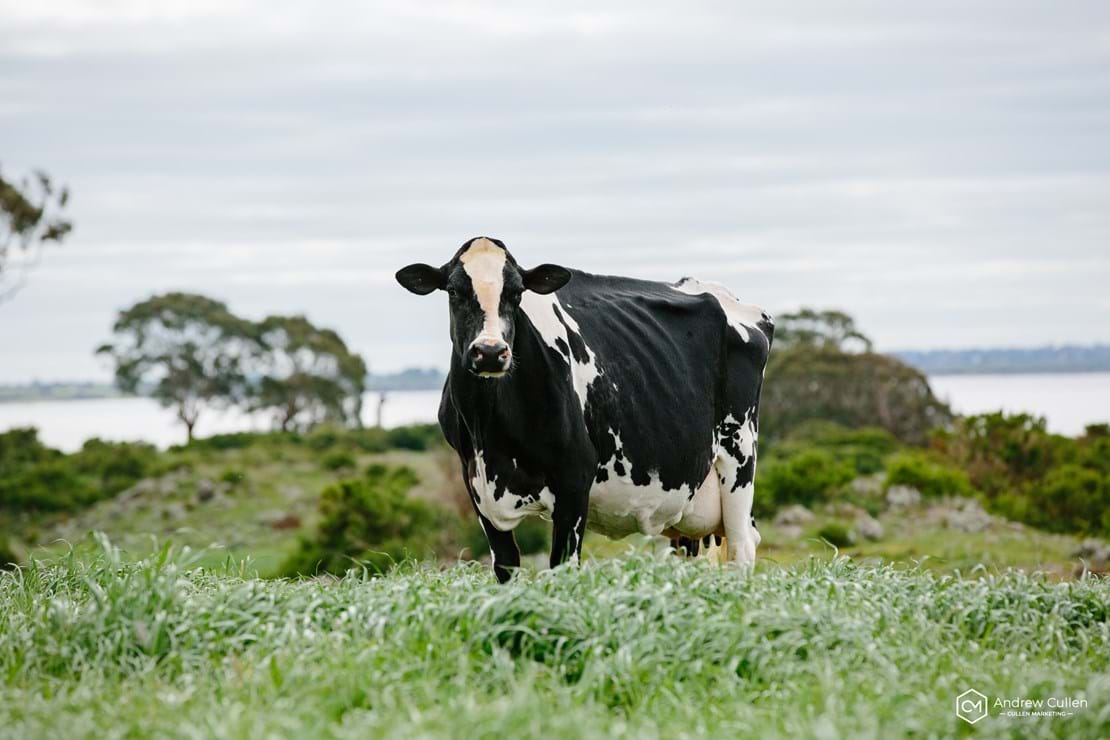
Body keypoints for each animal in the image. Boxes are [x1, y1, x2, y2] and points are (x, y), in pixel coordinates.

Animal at [396, 237, 774, 583]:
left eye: (516, 294)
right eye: (454, 291)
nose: (490, 352)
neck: (490, 432)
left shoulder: (575, 478)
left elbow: (562, 565)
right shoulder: (476, 483)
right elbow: (506, 567)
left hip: (739, 457)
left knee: (742, 547)